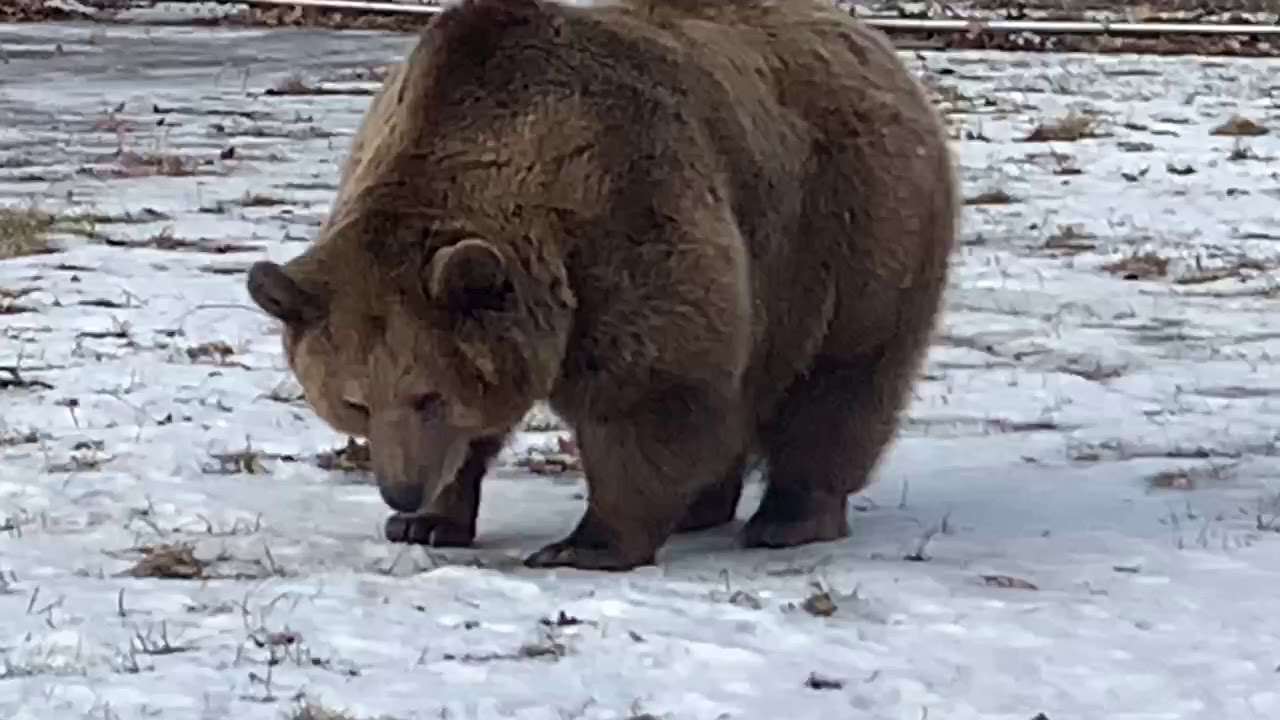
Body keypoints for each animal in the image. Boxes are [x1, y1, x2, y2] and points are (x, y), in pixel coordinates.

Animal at [246, 0, 959, 572]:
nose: (400, 490)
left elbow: (646, 392)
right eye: (353, 401)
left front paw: (585, 544)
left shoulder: (628, 219)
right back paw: (704, 505)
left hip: (854, 229)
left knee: (841, 381)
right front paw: (428, 521)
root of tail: (875, 44)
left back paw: (789, 518)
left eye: (427, 396)